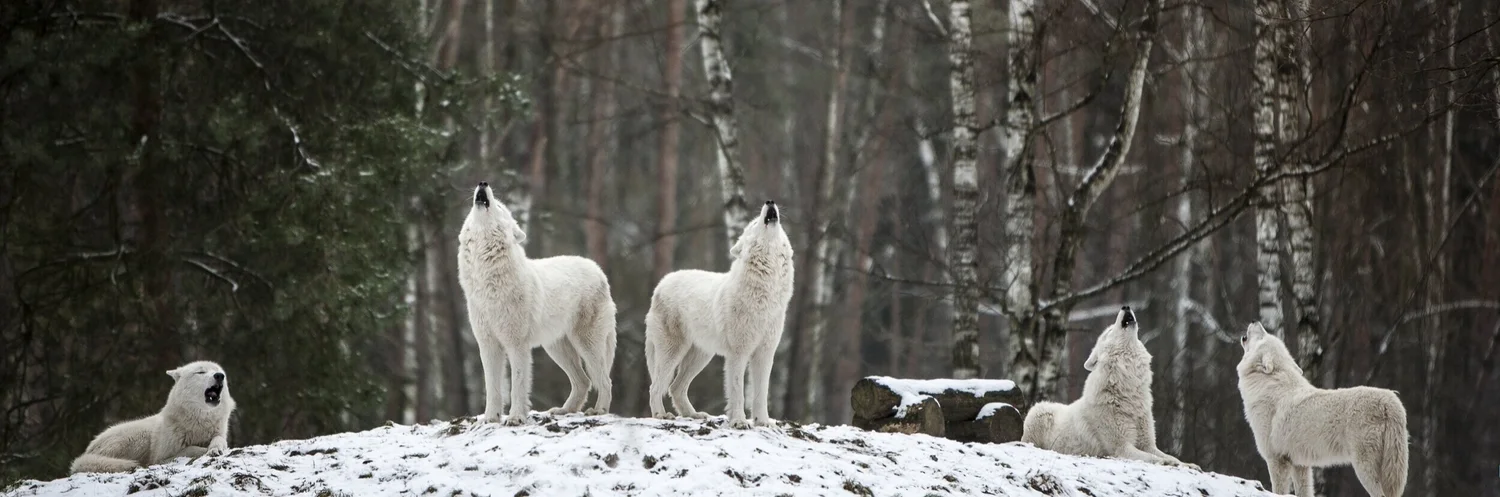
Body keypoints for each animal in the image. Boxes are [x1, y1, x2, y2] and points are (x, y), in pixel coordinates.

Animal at [69, 361, 235, 474]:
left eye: (218, 371)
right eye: (200, 372)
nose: (220, 376)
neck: (199, 422)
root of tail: (87, 452)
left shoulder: (218, 433)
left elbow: (219, 440)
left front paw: (215, 449)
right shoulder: (161, 457)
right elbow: (190, 449)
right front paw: (204, 450)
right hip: (138, 437)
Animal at [458, 181, 617, 425]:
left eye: (500, 206)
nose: (483, 183)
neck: (487, 282)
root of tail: (598, 271)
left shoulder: (517, 345)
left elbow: (517, 385)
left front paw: (515, 418)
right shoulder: (488, 345)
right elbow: (492, 387)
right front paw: (491, 418)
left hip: (586, 344)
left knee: (604, 380)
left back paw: (598, 410)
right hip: (556, 348)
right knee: (583, 381)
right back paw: (564, 410)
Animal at [645, 201, 794, 429]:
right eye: (753, 224)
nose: (770, 202)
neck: (766, 294)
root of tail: (661, 285)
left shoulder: (765, 353)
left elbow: (761, 393)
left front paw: (763, 422)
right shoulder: (738, 353)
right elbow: (738, 391)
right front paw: (739, 421)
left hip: (701, 356)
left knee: (676, 387)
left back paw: (693, 415)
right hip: (673, 353)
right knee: (656, 386)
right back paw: (661, 415)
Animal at [1021, 307, 1195, 469]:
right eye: (1110, 331)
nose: (1125, 306)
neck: (1128, 393)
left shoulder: (1147, 444)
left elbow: (1169, 456)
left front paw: (1188, 464)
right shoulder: (1122, 448)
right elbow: (1154, 458)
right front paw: (1168, 462)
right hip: (1039, 411)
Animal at [1237, 322, 1408, 497]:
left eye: (1262, 336)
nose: (1256, 322)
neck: (1270, 384)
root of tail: (1389, 400)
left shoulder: (1276, 459)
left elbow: (1278, 491)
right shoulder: (1300, 464)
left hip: (1364, 467)